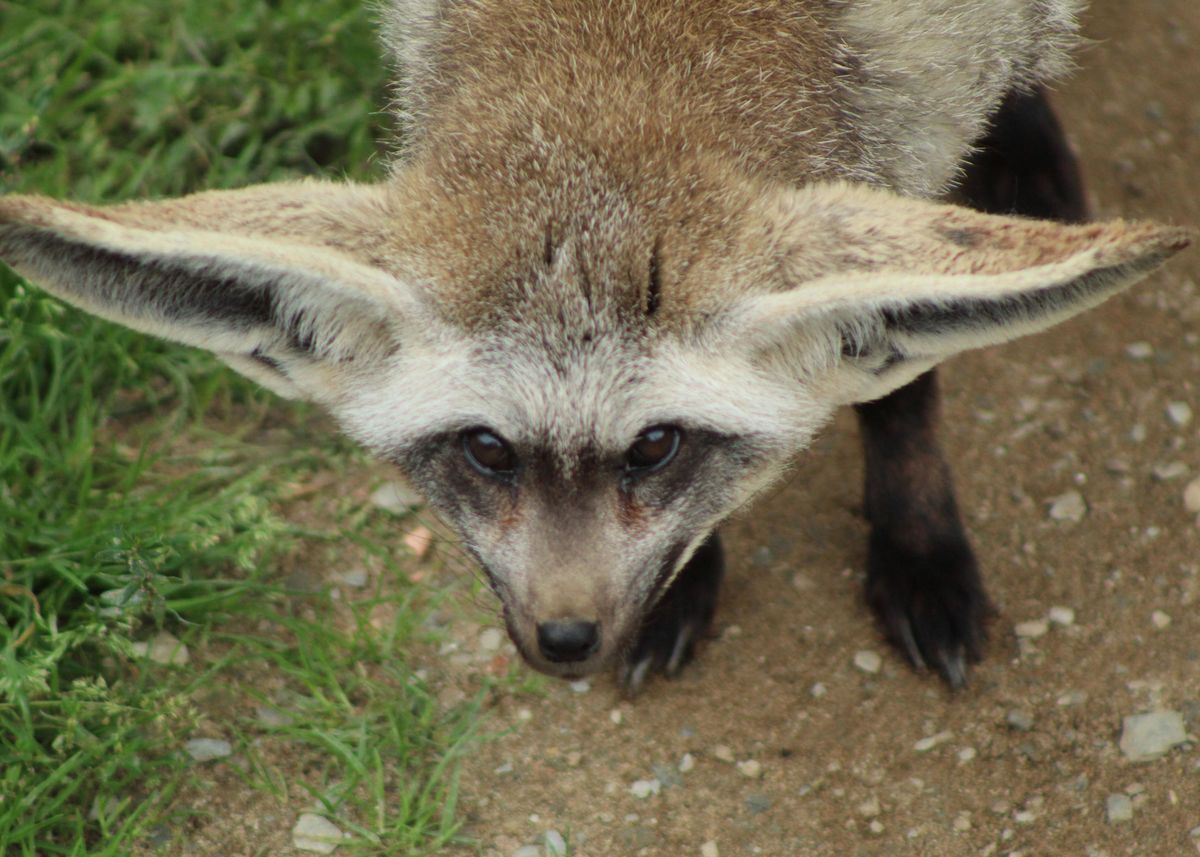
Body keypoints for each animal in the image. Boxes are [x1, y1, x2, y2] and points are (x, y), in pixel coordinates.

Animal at [0, 0, 1191, 694]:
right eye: (485, 450)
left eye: (656, 445)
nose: (566, 640)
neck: (629, 40)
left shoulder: (917, 125)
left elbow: (902, 382)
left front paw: (918, 545)